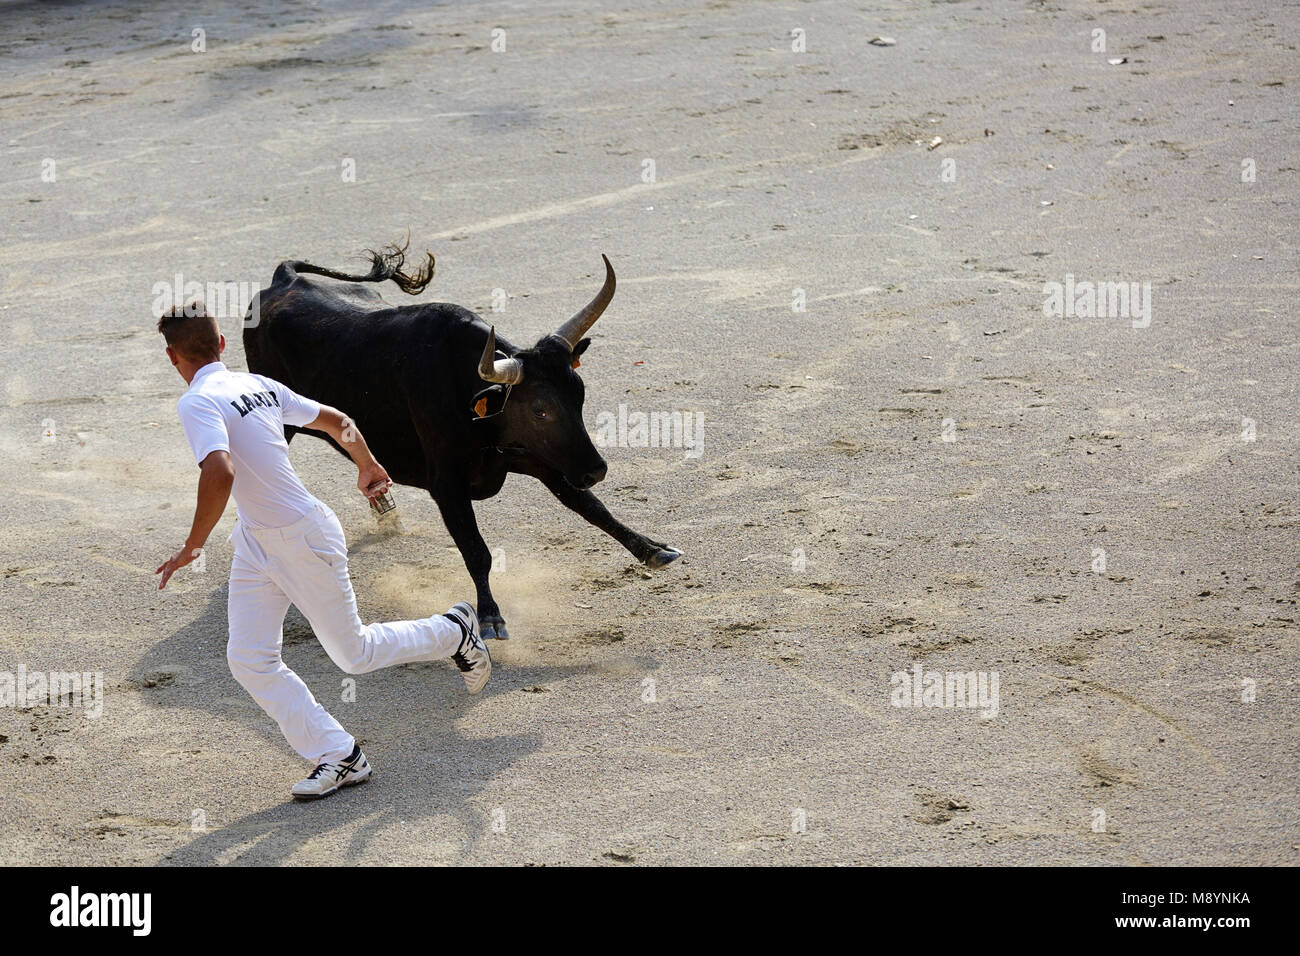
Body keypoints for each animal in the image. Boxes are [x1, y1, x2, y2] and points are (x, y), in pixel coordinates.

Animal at [243, 240, 682, 640]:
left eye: (580, 394)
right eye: (539, 409)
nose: (596, 470)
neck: (465, 391)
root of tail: (284, 279)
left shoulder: (534, 457)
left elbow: (591, 507)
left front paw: (653, 549)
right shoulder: (447, 484)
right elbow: (476, 549)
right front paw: (490, 616)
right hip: (281, 419)